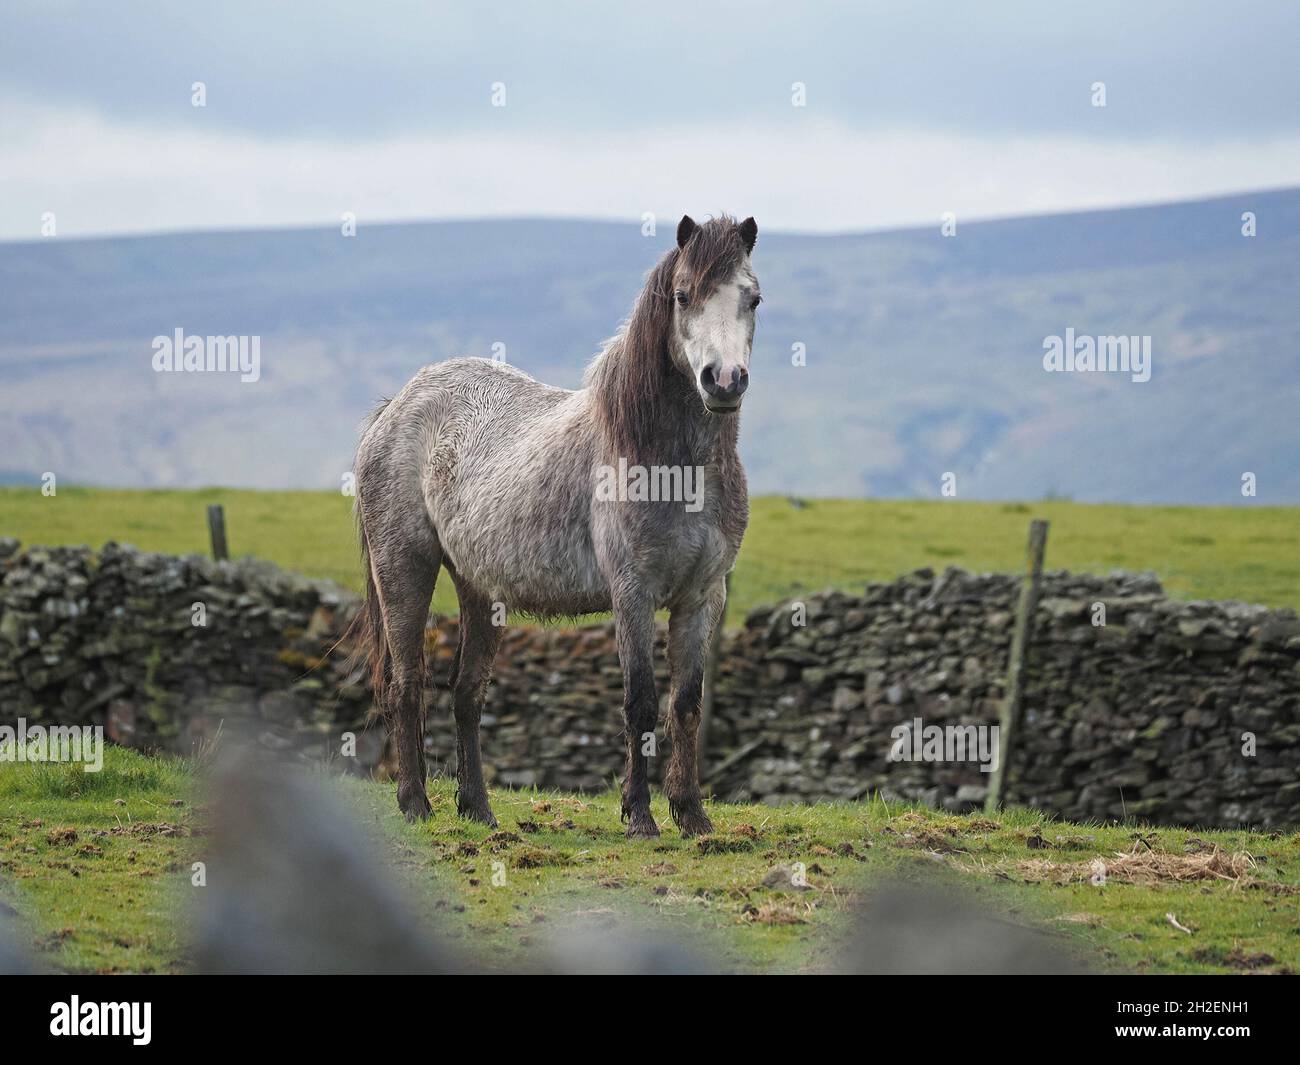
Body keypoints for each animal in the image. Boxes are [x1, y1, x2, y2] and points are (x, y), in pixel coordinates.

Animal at [353, 214, 760, 838]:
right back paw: (415, 803)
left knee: (467, 693)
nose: (724, 381)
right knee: (406, 685)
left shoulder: (702, 597)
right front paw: (639, 815)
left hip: (480, 590)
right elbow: (640, 701)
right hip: (404, 571)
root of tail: (396, 405)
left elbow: (686, 704)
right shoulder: (632, 594)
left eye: (753, 297)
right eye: (683, 295)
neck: (671, 464)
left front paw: (693, 816)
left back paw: (479, 808)